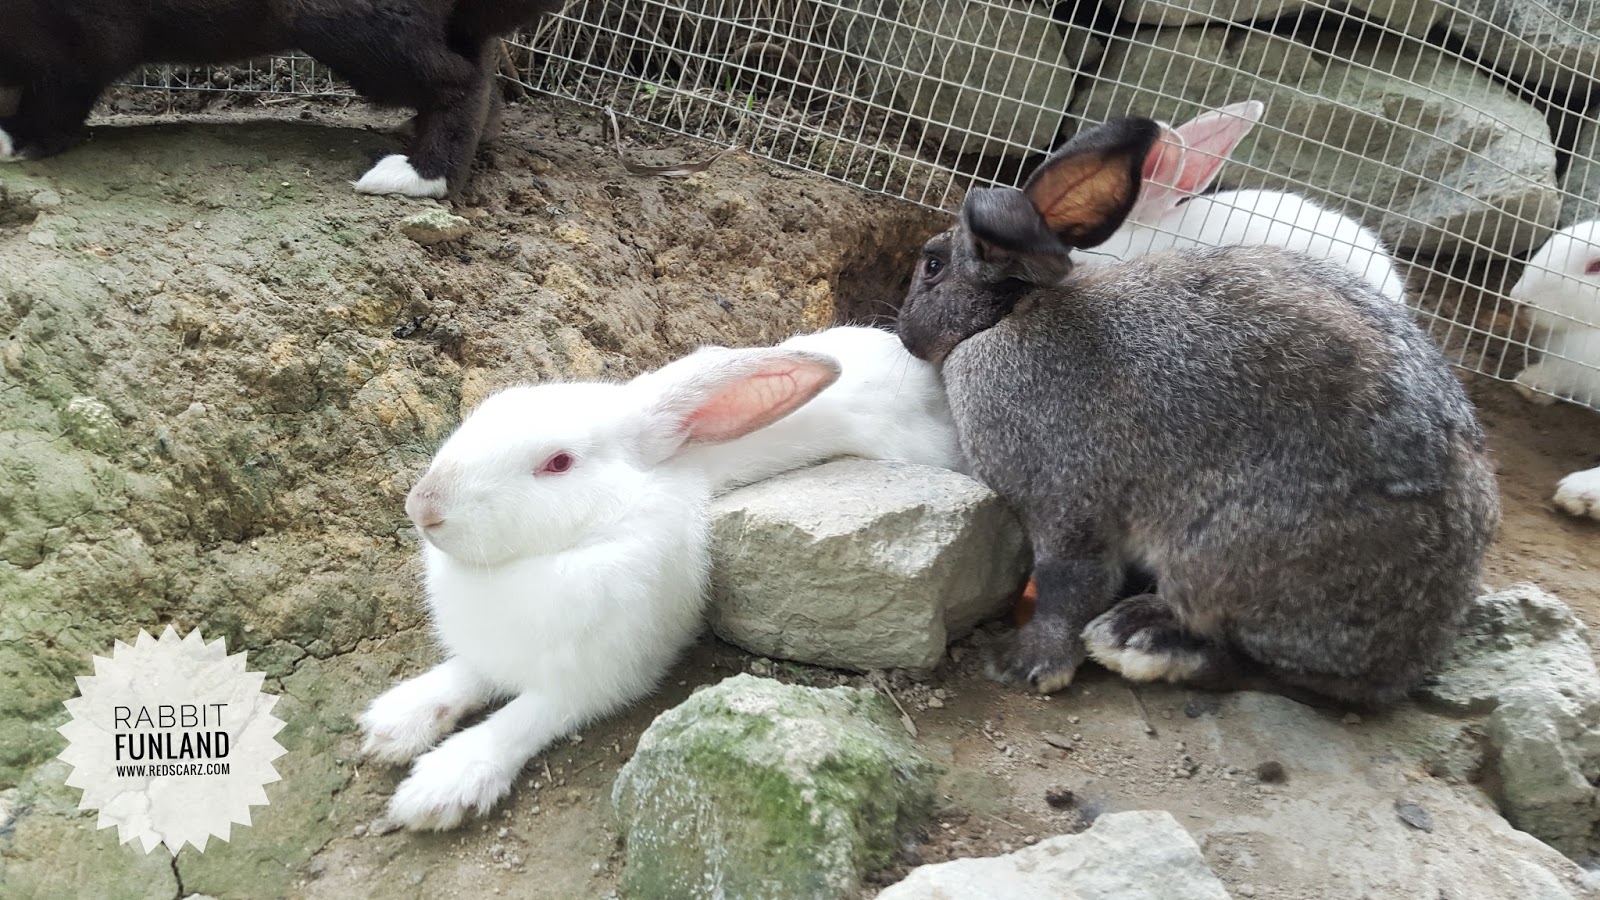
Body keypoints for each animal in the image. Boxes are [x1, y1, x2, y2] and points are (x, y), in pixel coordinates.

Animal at [0, 0, 560, 197]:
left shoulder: (79, 37)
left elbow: (55, 99)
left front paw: (15, 139)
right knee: (479, 60)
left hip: (352, 29)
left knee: (460, 81)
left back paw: (421, 174)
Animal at [358, 348, 841, 830]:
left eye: (558, 462)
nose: (422, 507)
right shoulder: (496, 653)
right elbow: (468, 674)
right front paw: (396, 723)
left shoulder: (594, 680)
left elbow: (523, 717)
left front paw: (439, 787)